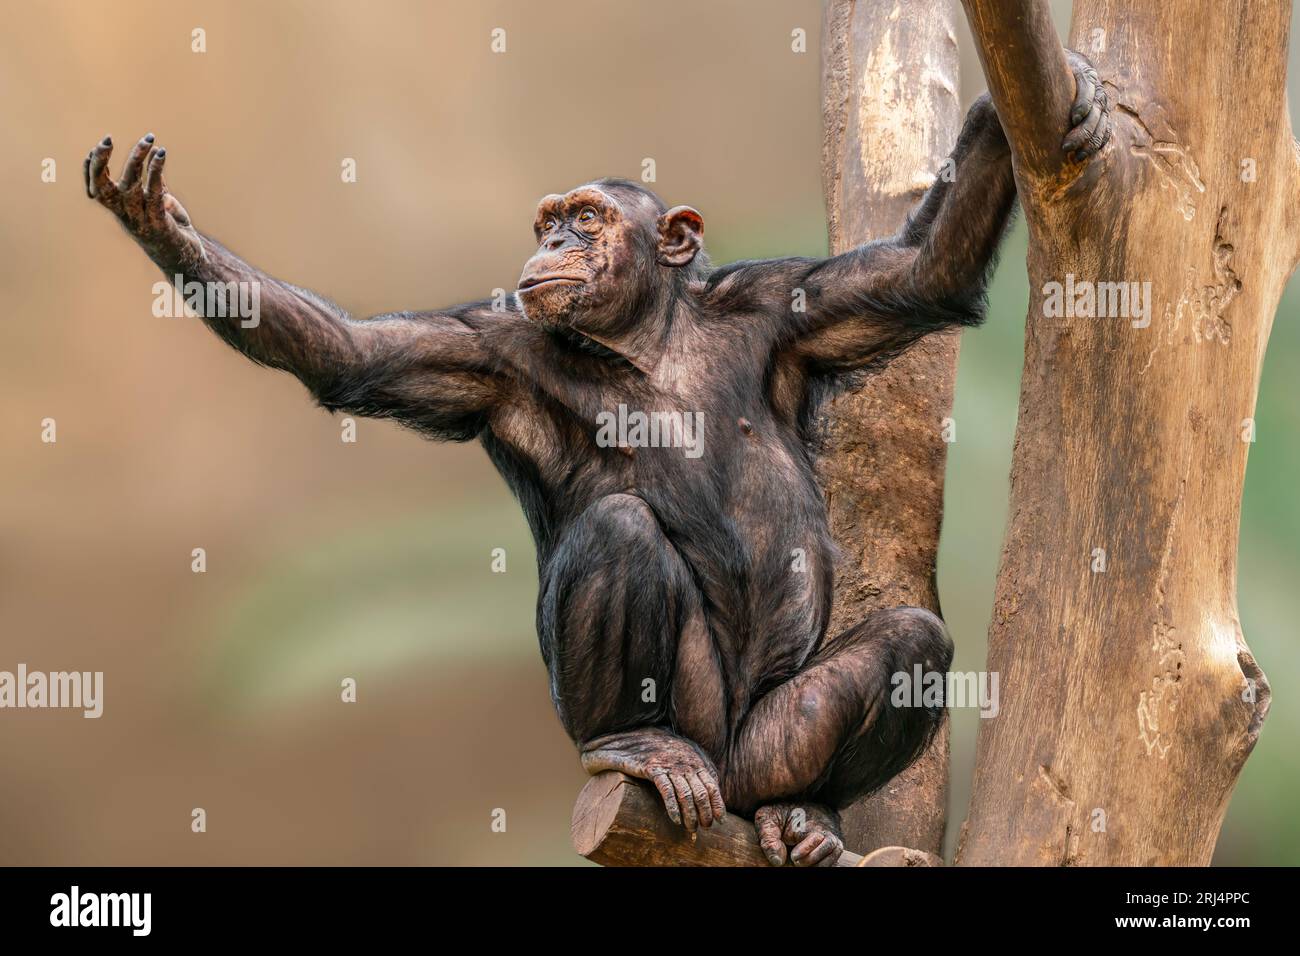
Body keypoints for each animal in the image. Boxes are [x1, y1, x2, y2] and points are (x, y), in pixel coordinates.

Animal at [84, 55, 1109, 866]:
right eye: (550, 220)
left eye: (586, 216)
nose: (552, 242)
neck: (646, 337)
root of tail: (722, 779)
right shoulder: (487, 349)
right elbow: (350, 353)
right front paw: (160, 222)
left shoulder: (793, 304)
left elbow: (920, 272)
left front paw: (1009, 110)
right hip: (674, 724)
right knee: (618, 532)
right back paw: (630, 746)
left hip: (763, 744)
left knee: (911, 646)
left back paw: (806, 813)